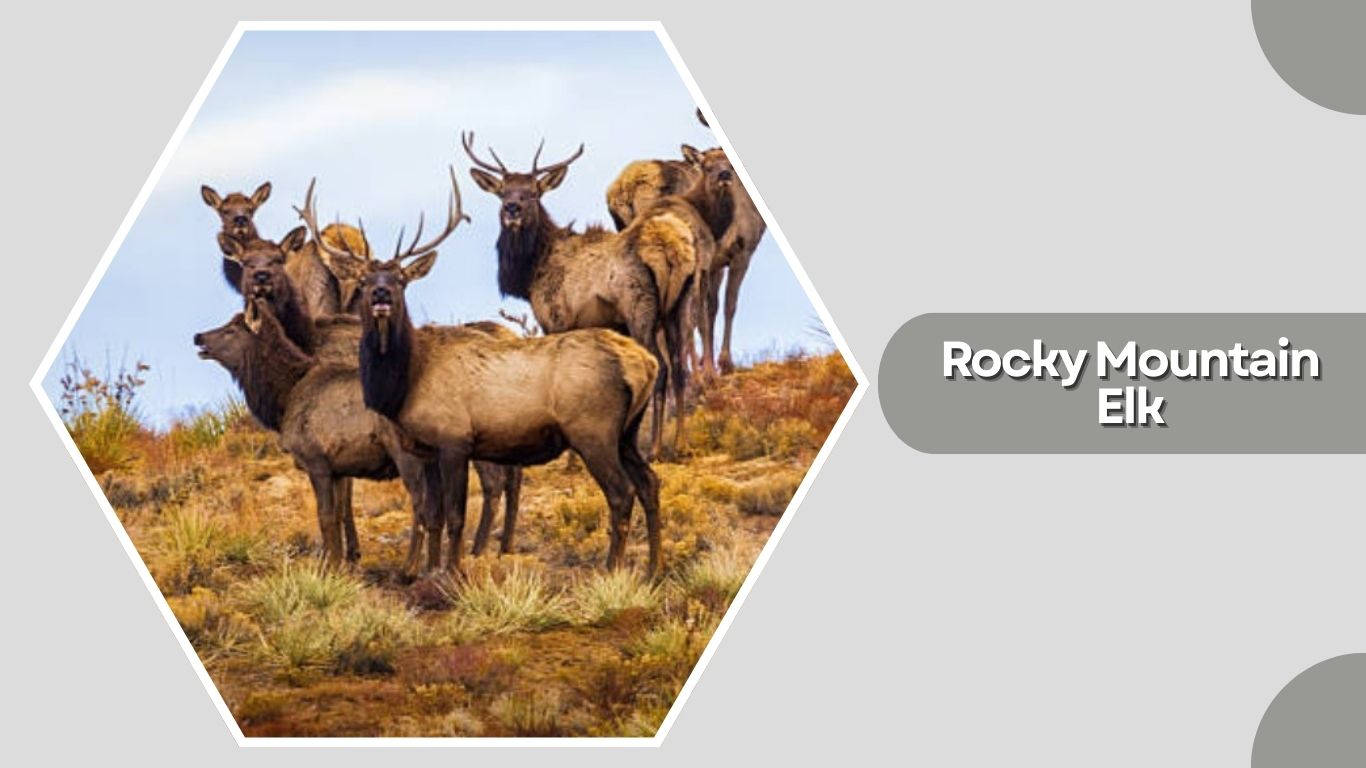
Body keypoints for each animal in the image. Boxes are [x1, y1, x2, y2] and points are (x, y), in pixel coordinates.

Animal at [307, 173, 664, 577]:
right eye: (366, 279)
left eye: (400, 279)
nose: (381, 293)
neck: (405, 384)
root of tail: (644, 363)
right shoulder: (426, 448)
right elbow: (434, 515)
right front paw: (427, 571)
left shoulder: (454, 439)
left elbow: (456, 516)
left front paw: (454, 571)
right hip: (626, 432)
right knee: (650, 483)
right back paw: (654, 570)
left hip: (594, 429)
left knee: (622, 493)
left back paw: (611, 569)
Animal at [460, 131, 714, 458]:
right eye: (503, 192)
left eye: (533, 193)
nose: (512, 209)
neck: (531, 271)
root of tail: (670, 248)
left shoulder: (554, 320)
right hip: (681, 306)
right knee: (681, 368)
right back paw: (681, 443)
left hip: (640, 309)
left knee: (661, 368)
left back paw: (655, 448)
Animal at [605, 109, 767, 374]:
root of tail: (625, 190)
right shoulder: (742, 249)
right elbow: (727, 305)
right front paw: (723, 364)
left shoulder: (716, 262)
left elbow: (710, 309)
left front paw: (706, 363)